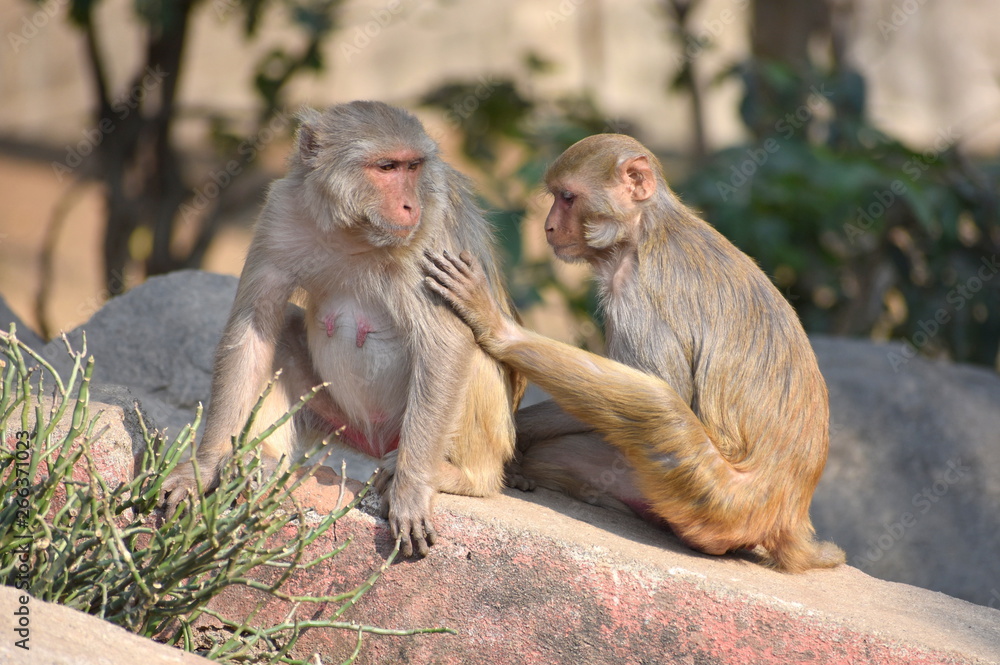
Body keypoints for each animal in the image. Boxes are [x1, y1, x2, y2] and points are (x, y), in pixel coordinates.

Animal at [160, 101, 525, 557]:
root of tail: (377, 441)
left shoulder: (433, 234)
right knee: (280, 332)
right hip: (338, 420)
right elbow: (252, 329)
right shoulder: (280, 212)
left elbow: (444, 345)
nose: (410, 207)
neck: (356, 231)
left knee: (471, 356)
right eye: (387, 167)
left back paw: (460, 476)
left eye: (413, 166)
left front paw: (411, 492)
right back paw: (262, 458)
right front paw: (205, 466)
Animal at [422, 133, 845, 572]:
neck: (643, 229)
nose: (548, 226)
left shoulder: (634, 291)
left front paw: (495, 327)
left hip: (721, 501)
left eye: (567, 197)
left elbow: (666, 386)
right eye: (555, 197)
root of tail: (789, 514)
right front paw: (519, 438)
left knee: (660, 407)